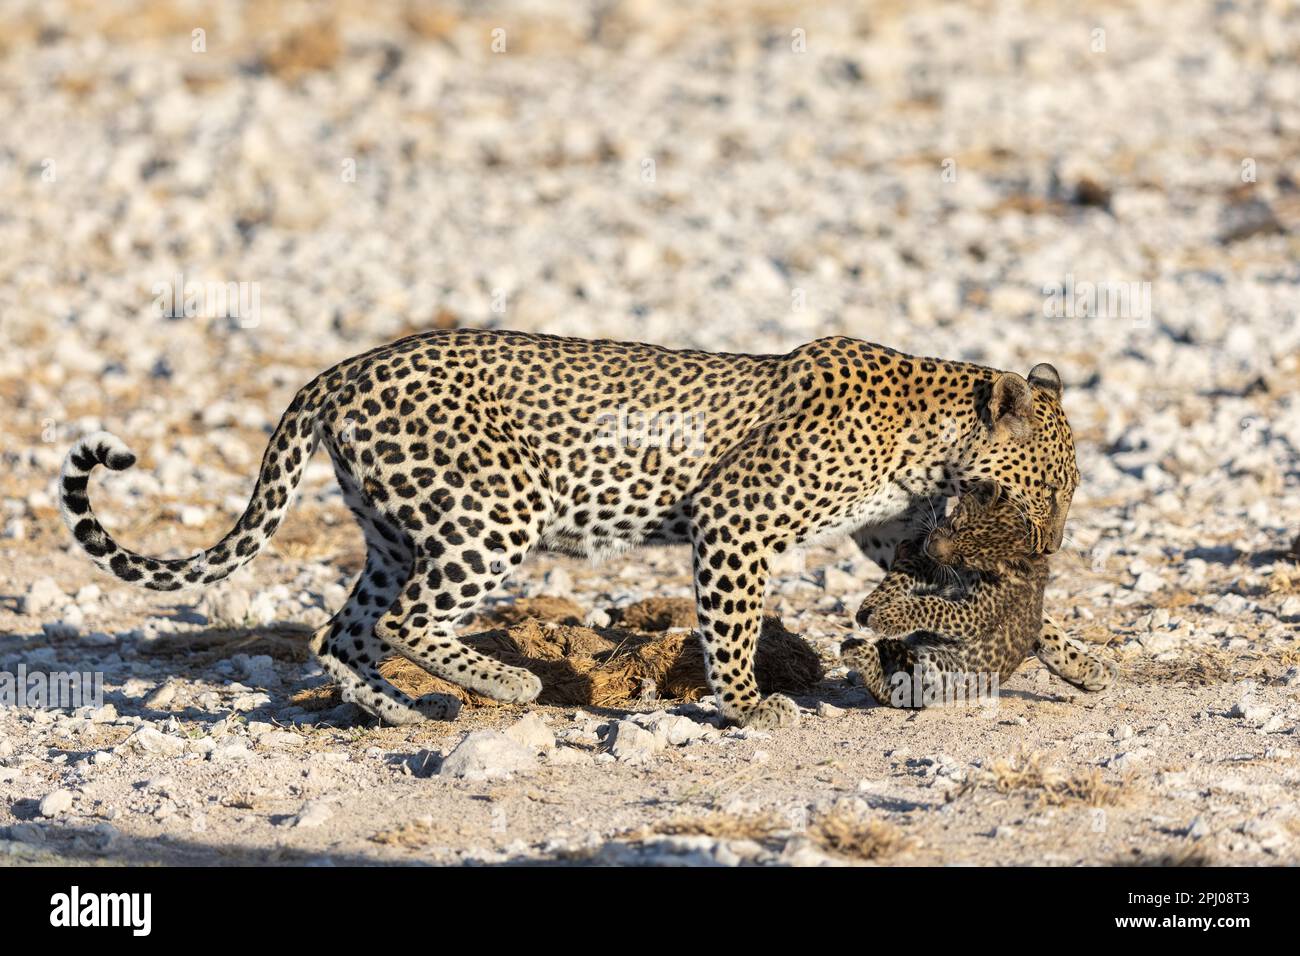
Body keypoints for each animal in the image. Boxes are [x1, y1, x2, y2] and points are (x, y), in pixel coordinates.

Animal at [60, 329, 1080, 729]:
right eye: (1053, 490)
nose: (1049, 545)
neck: (931, 439)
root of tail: (342, 370)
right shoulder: (735, 521)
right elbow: (733, 626)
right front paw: (749, 705)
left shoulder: (890, 530)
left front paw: (1076, 653)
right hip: (492, 513)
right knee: (403, 619)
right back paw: (507, 683)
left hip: (397, 531)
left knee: (340, 629)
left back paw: (399, 710)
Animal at [843, 482, 1116, 707]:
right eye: (954, 526)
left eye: (968, 557)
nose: (930, 548)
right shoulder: (935, 568)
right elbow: (906, 573)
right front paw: (872, 604)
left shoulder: (975, 612)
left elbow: (931, 605)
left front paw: (887, 617)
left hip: (935, 675)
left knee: (891, 689)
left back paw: (858, 651)